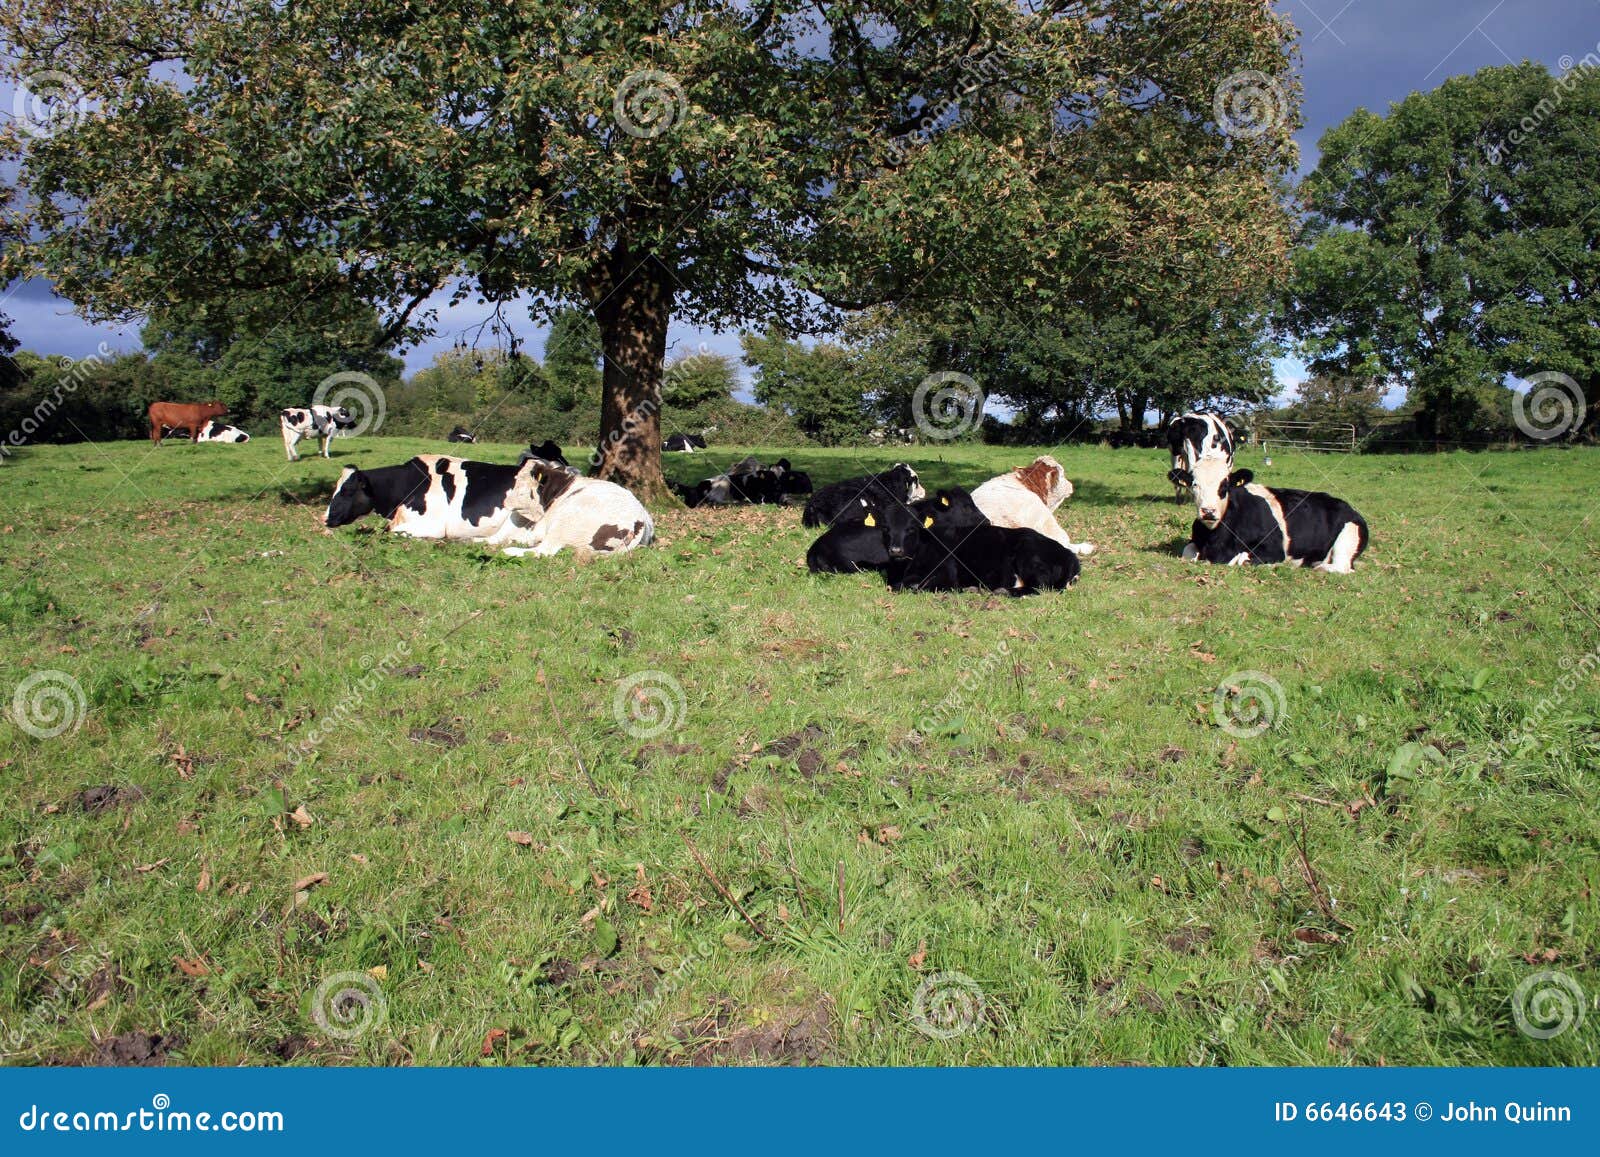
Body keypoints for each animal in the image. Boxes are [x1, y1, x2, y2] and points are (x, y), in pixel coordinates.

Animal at [1167, 464, 1369, 573]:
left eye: (1224, 485)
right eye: (1194, 484)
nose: (1208, 511)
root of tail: (1347, 506)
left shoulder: (1275, 550)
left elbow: (1243, 560)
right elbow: (1187, 553)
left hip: (1348, 536)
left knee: (1343, 566)